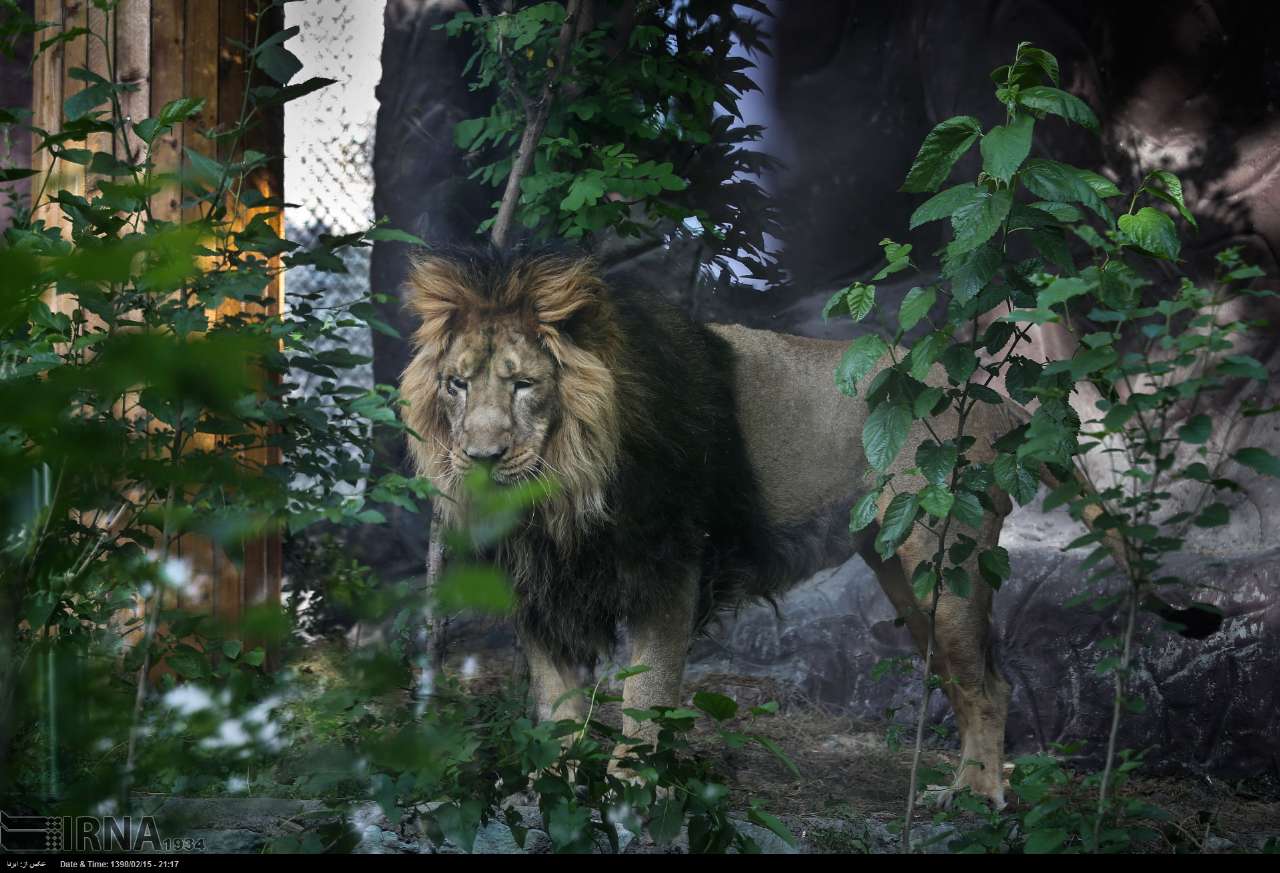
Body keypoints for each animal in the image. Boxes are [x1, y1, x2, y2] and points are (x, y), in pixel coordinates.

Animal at [400, 248, 1020, 803]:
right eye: (456, 385)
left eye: (523, 385)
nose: (481, 458)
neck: (561, 497)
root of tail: (996, 403)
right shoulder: (536, 585)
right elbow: (557, 697)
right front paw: (553, 779)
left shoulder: (671, 565)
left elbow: (646, 687)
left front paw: (632, 783)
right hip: (905, 576)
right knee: (957, 678)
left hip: (948, 562)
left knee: (989, 684)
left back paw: (974, 793)